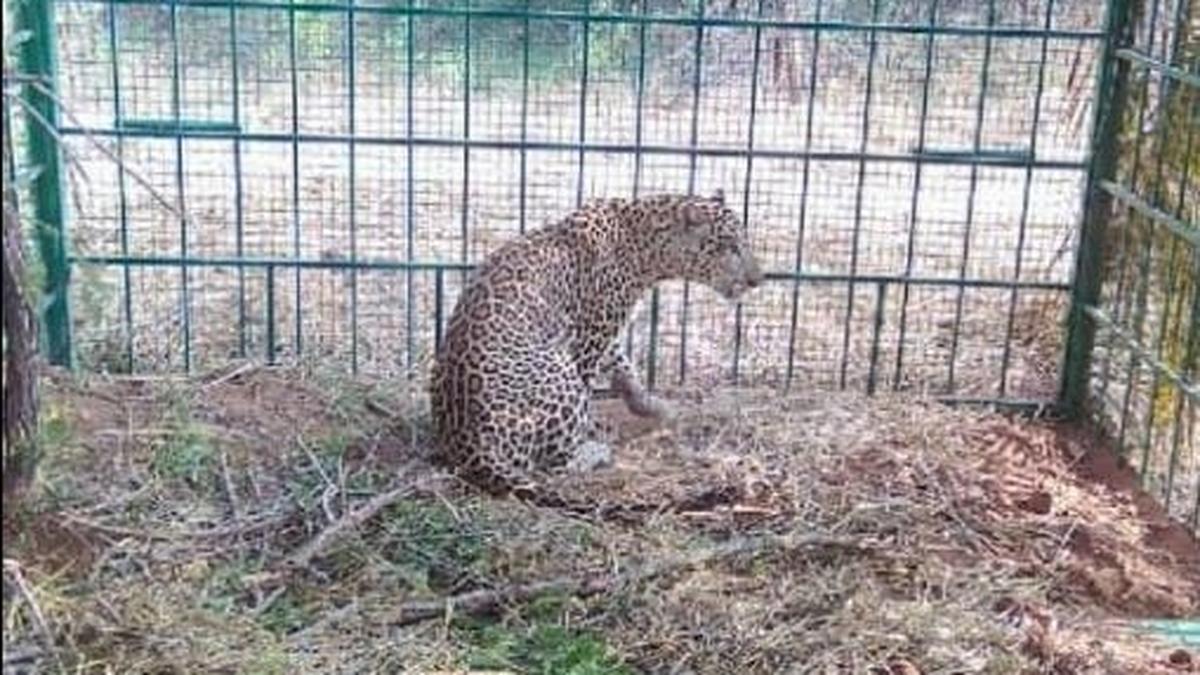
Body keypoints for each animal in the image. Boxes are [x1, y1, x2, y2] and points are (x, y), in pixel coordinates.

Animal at [429, 190, 763, 515]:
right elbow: (594, 383)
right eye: (730, 247)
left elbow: (623, 362)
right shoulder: (588, 340)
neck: (646, 246)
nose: (757, 280)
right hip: (558, 370)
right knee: (556, 464)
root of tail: (469, 443)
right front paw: (598, 426)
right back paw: (599, 448)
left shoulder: (604, 331)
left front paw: (650, 404)